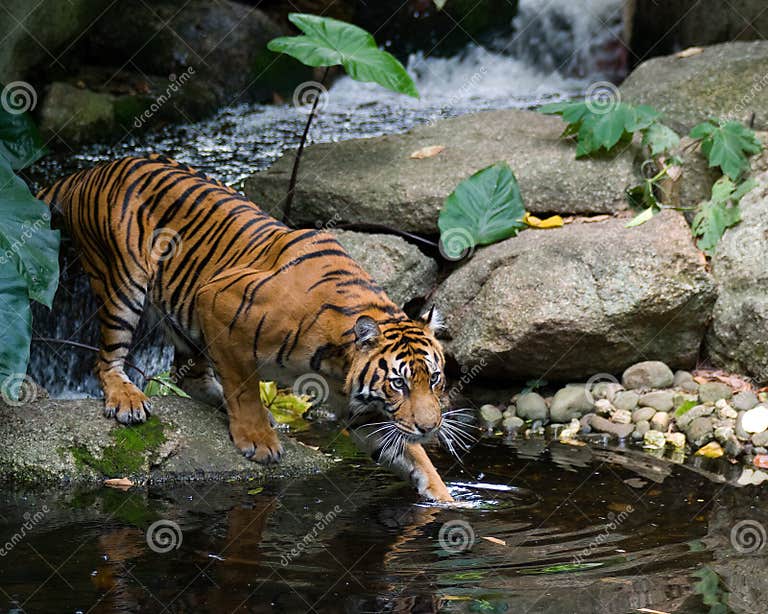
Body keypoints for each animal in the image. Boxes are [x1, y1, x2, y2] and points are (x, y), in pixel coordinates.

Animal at [38, 154, 466, 502]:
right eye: (398, 383)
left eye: (435, 378)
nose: (430, 426)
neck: (337, 365)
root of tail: (91, 170)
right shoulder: (216, 301)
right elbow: (243, 385)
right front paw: (259, 441)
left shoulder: (365, 411)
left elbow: (413, 457)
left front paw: (446, 501)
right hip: (123, 284)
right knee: (107, 360)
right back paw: (127, 399)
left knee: (187, 374)